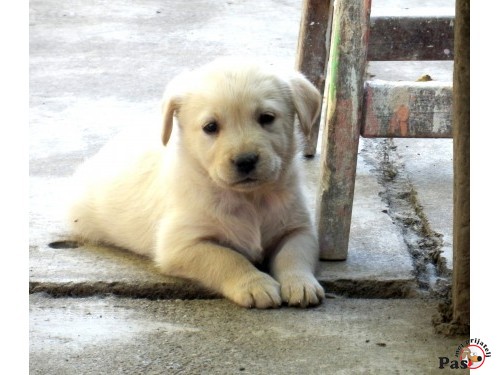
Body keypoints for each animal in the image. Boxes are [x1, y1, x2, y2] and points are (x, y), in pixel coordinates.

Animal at [67, 58, 324, 308]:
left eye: (267, 118)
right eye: (210, 127)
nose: (246, 161)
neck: (249, 199)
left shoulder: (298, 228)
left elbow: (293, 255)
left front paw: (300, 283)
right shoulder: (182, 245)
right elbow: (228, 258)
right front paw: (255, 284)